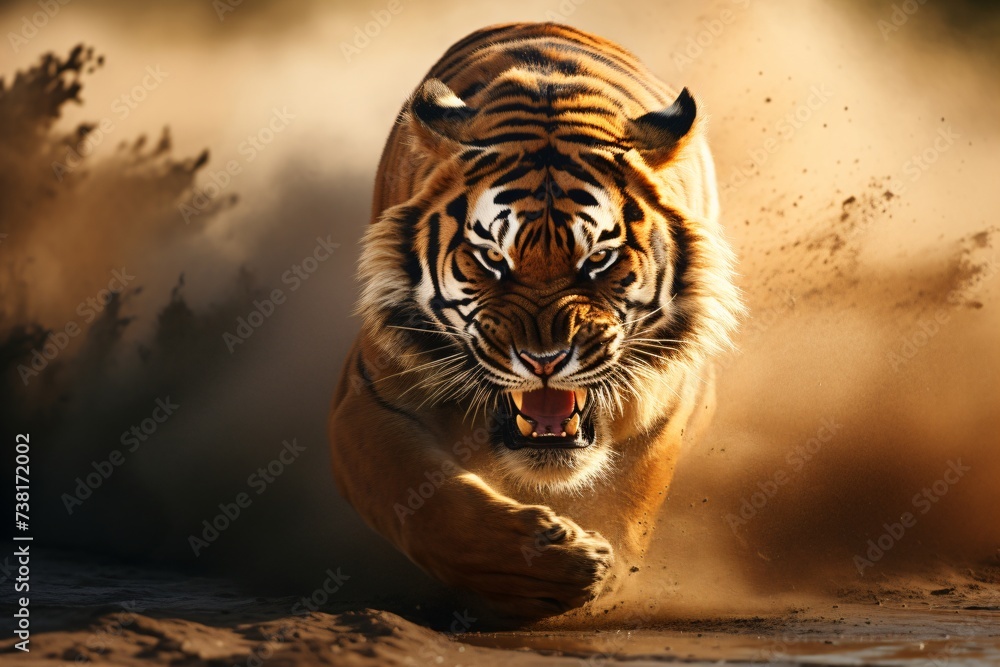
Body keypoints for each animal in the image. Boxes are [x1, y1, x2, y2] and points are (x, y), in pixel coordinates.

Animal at [328, 22, 743, 620]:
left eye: (599, 259)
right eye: (491, 259)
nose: (544, 360)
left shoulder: (667, 401)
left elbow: (627, 500)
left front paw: (600, 572)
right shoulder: (367, 398)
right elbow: (426, 506)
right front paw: (555, 566)